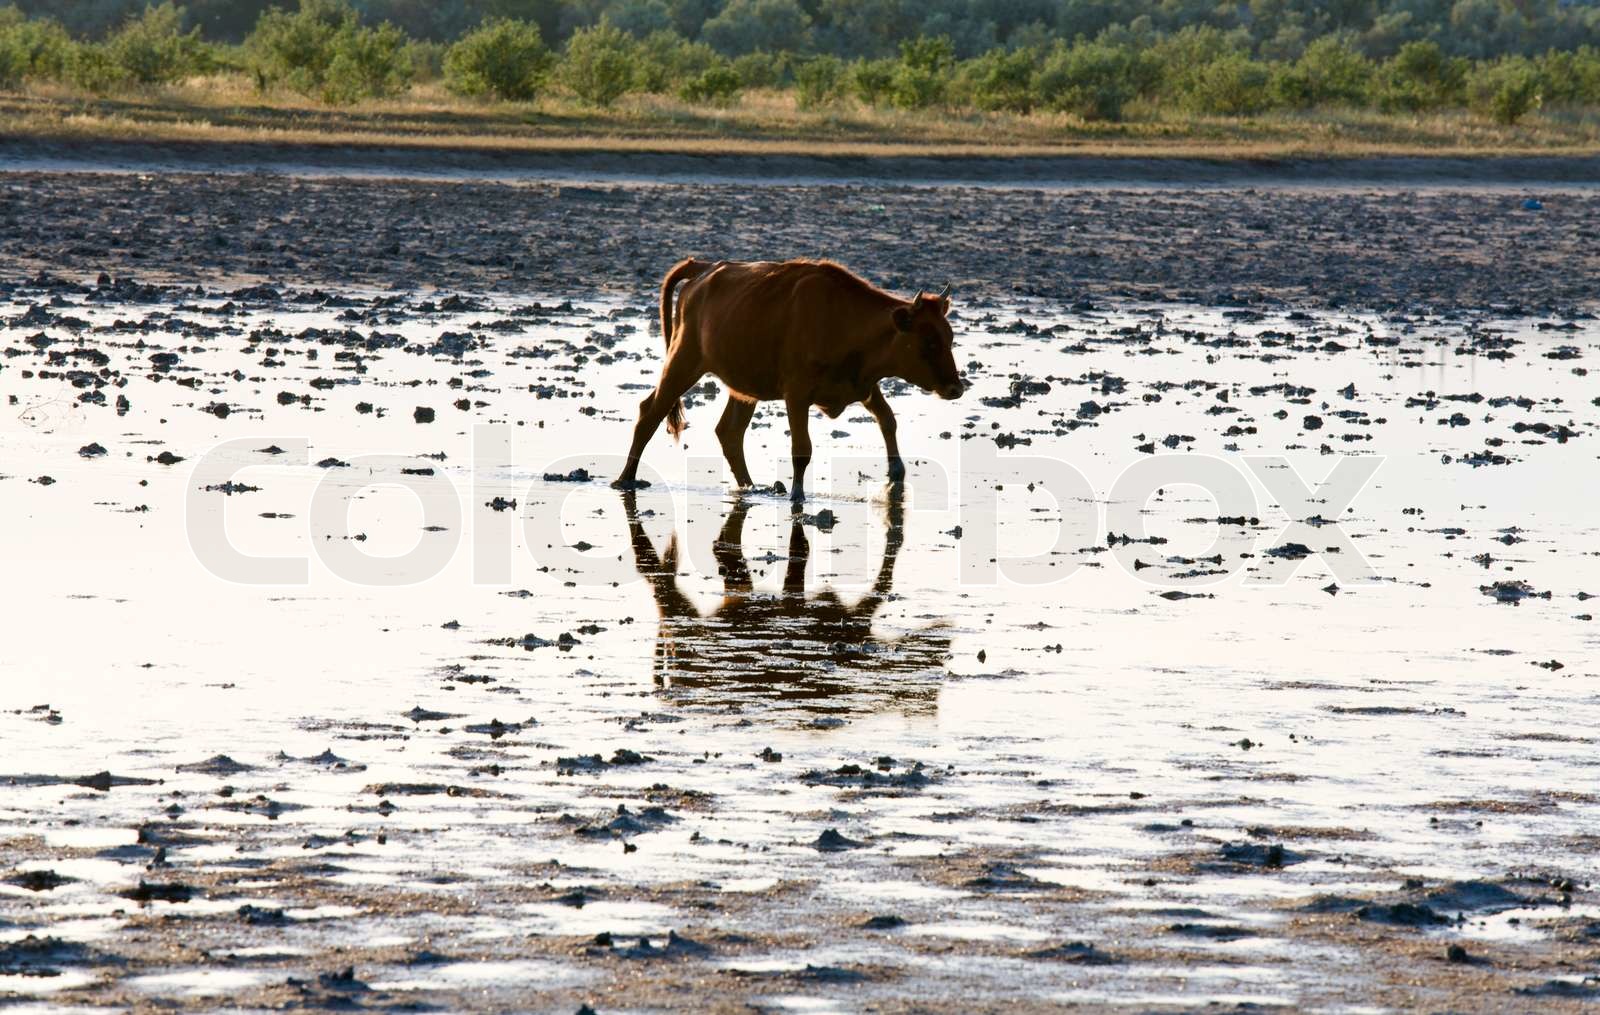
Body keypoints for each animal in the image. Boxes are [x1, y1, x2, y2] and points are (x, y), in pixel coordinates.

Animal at [611, 258, 965, 501]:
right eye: (928, 342)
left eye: (949, 337)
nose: (956, 388)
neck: (845, 319)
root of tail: (703, 267)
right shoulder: (797, 393)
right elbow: (802, 448)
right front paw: (798, 495)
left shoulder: (864, 385)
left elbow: (888, 420)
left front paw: (896, 474)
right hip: (683, 361)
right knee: (650, 413)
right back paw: (625, 478)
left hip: (742, 385)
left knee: (729, 432)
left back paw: (750, 486)